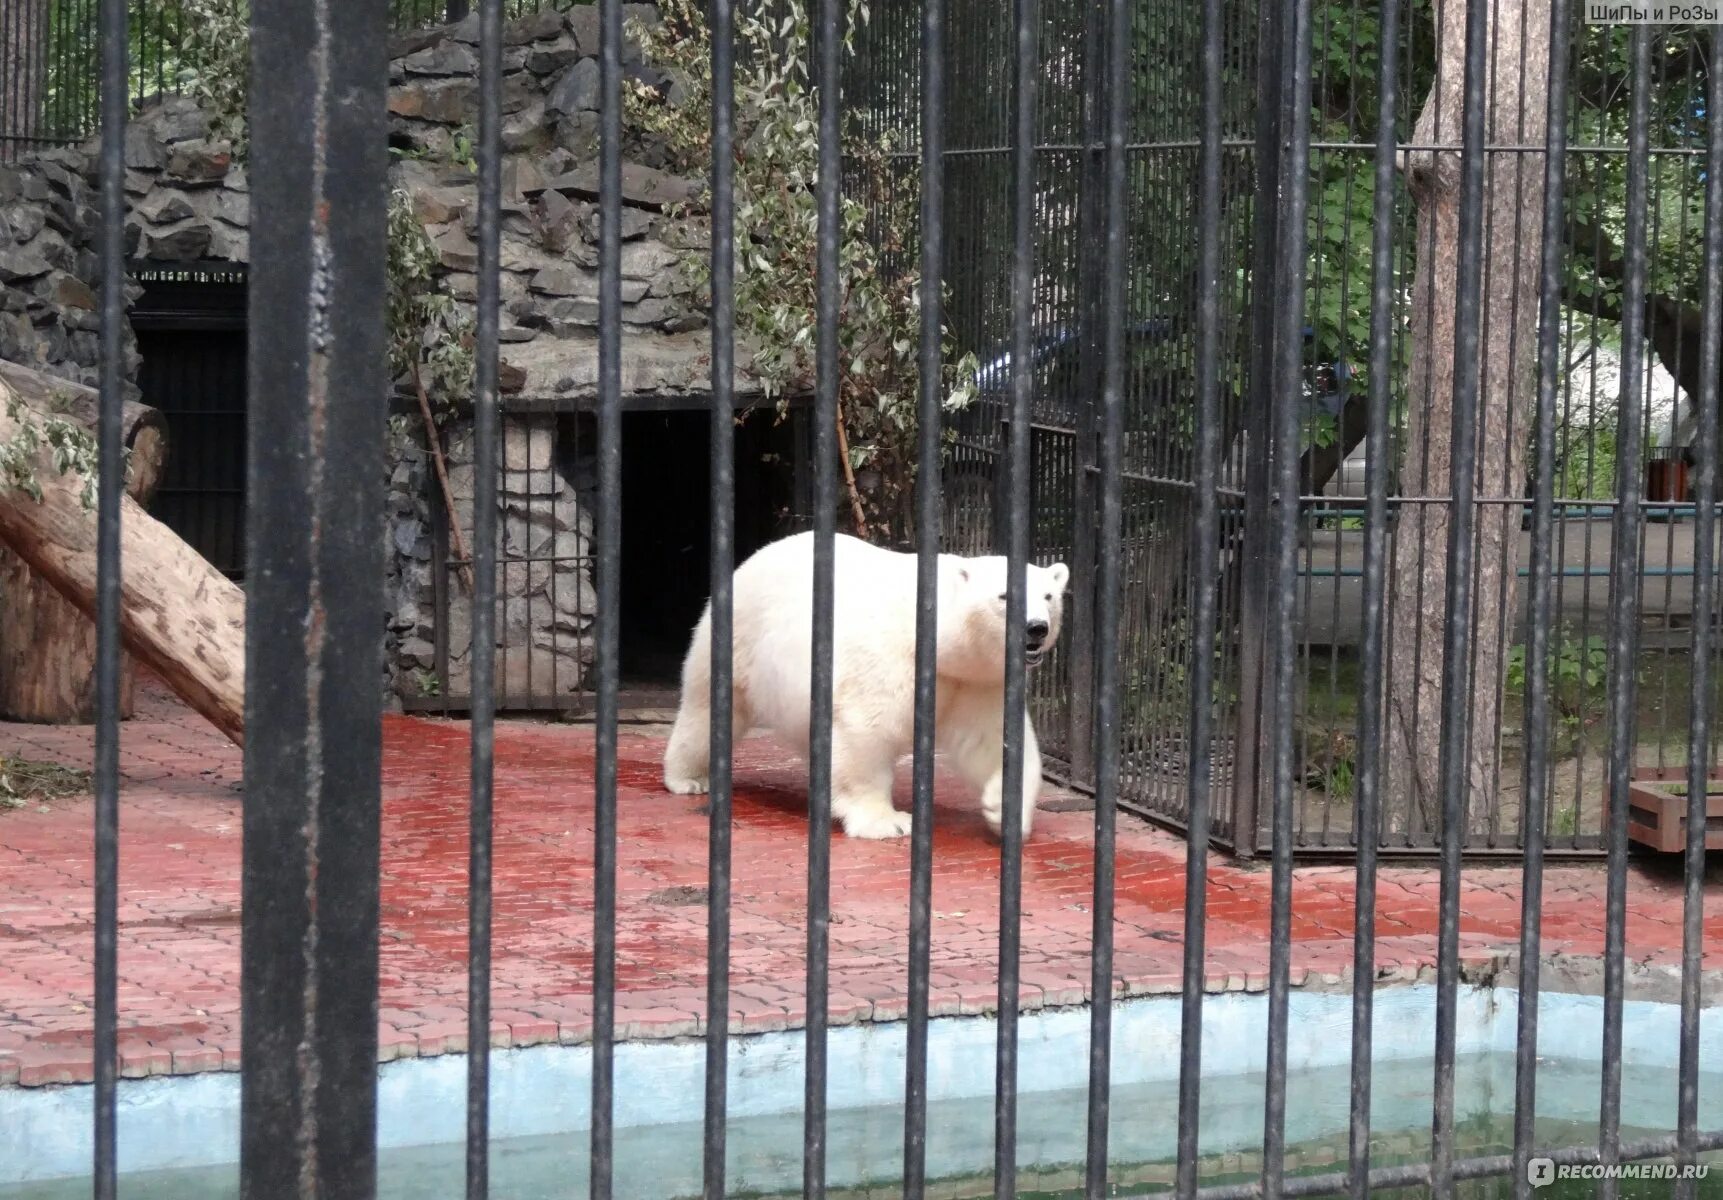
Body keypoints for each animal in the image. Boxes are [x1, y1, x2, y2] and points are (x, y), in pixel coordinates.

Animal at [658, 531, 1061, 837]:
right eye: (1005, 596)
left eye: (1049, 596)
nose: (1036, 629)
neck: (934, 636)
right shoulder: (889, 661)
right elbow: (867, 735)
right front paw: (887, 822)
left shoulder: (973, 681)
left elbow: (990, 740)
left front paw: (1003, 811)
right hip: (740, 639)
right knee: (708, 709)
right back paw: (689, 778)